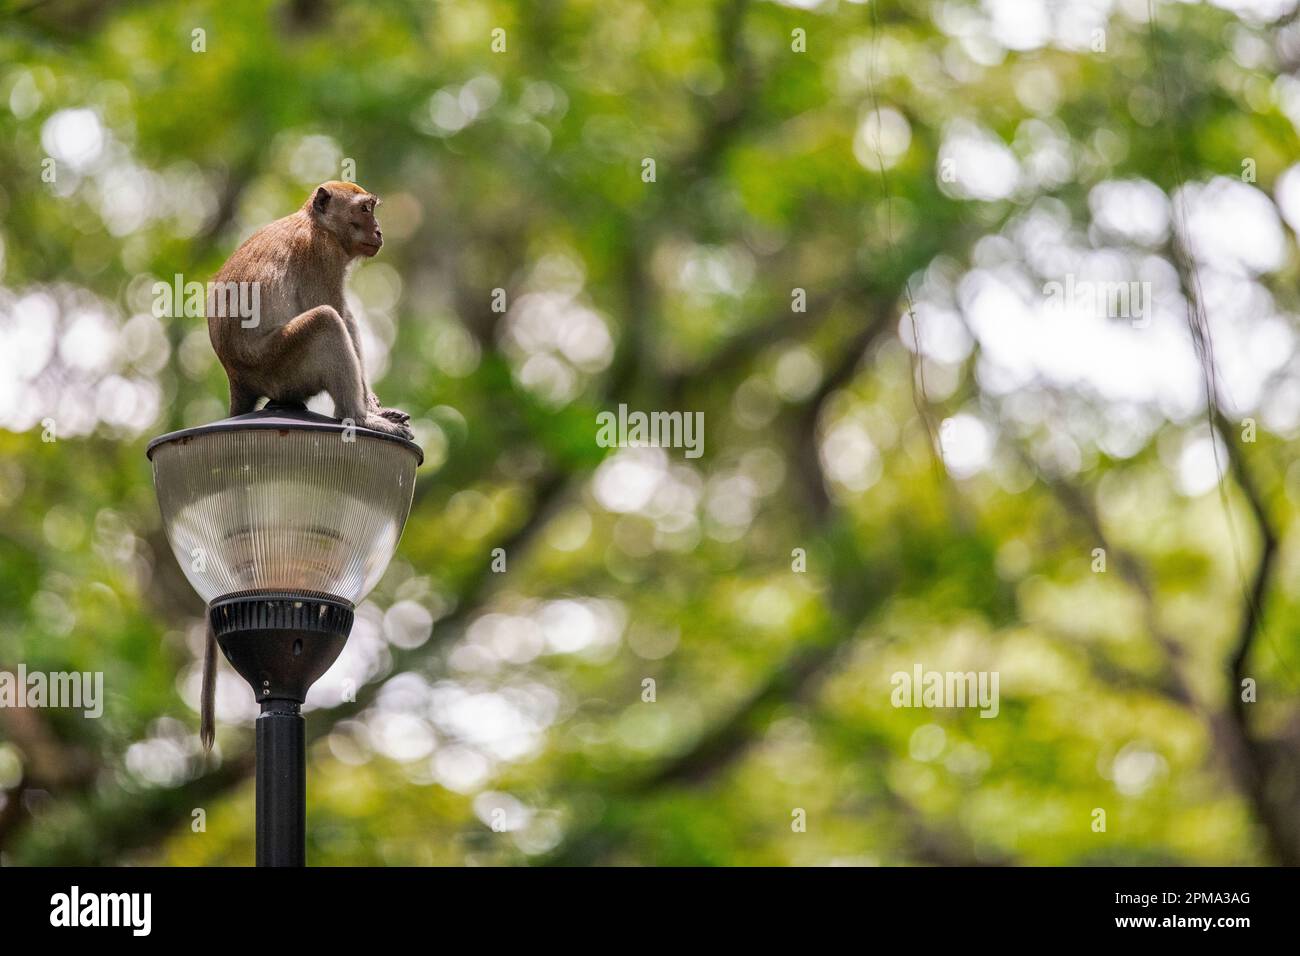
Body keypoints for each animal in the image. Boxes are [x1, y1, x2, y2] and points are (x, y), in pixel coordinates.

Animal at [198, 181, 413, 750]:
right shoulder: (321, 260)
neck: (315, 225)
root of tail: (239, 377)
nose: (379, 231)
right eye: (366, 209)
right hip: (284, 363)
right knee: (326, 324)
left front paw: (380, 405)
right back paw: (356, 416)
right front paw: (371, 410)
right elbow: (337, 312)